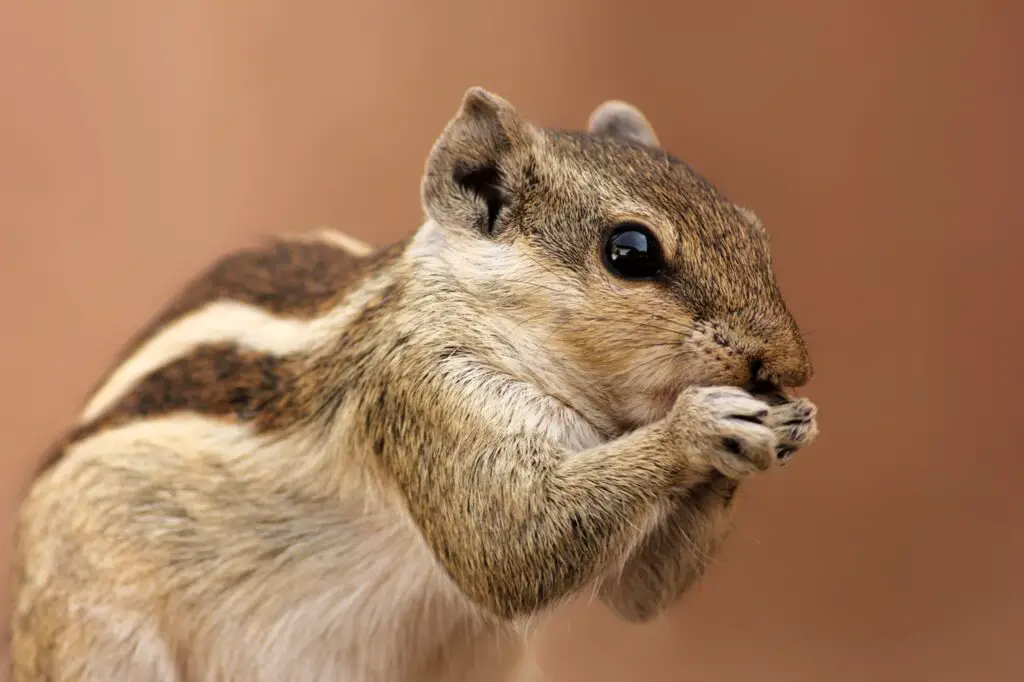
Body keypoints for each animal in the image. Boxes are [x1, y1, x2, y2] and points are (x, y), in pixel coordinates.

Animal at [10, 87, 819, 682]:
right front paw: (700, 424)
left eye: (755, 232)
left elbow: (635, 594)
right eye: (630, 251)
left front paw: (787, 423)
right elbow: (511, 549)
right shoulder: (425, 397)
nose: (788, 368)